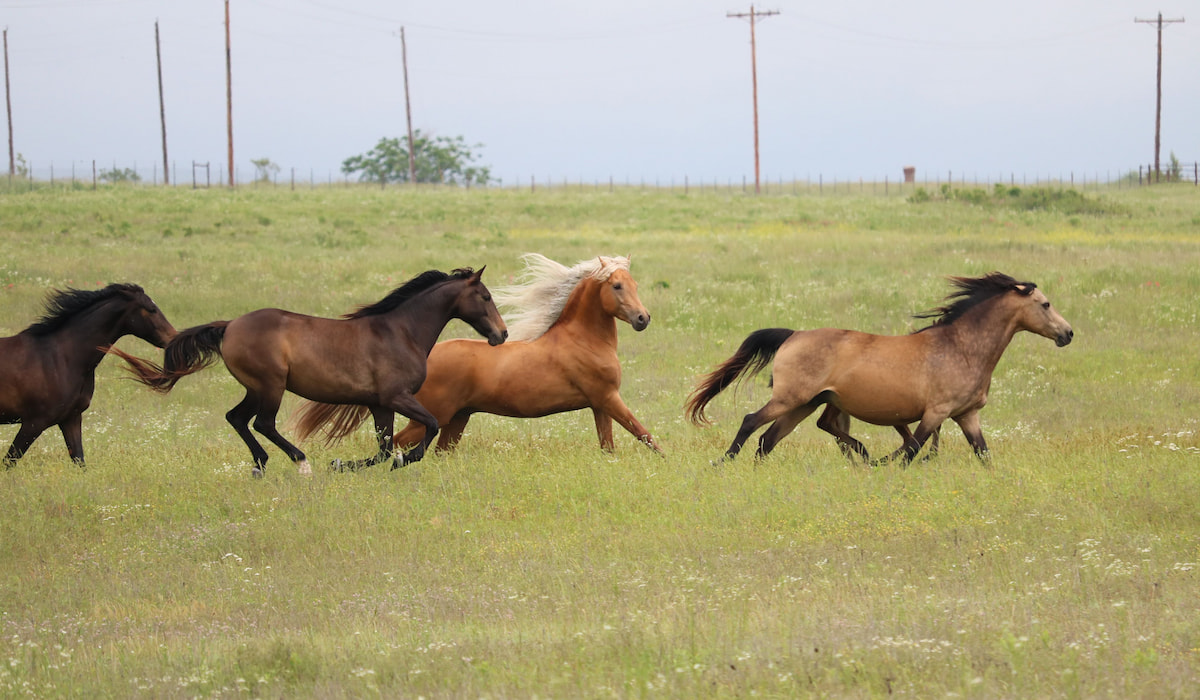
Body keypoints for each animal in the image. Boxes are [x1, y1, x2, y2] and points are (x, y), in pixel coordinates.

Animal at [1, 283, 177, 468]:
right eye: (151, 309)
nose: (173, 338)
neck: (61, 358)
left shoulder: (71, 419)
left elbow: (79, 461)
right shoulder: (34, 422)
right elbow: (9, 461)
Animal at [112, 268, 507, 477]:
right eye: (486, 297)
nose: (501, 335)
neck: (400, 332)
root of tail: (230, 326)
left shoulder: (380, 404)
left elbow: (383, 448)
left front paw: (346, 463)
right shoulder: (397, 397)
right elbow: (430, 427)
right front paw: (400, 460)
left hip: (255, 389)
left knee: (237, 418)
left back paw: (260, 466)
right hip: (270, 386)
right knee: (262, 423)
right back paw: (301, 462)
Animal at [292, 254, 663, 458]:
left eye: (634, 284)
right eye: (616, 286)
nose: (643, 318)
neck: (582, 340)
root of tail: (426, 356)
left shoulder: (598, 405)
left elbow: (609, 446)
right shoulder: (608, 397)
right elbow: (645, 435)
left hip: (458, 418)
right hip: (434, 416)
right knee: (396, 443)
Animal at [685, 272, 1073, 464]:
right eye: (1045, 304)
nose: (1067, 333)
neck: (961, 348)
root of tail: (793, 334)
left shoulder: (967, 415)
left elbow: (983, 453)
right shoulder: (936, 412)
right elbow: (912, 449)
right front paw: (887, 464)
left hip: (806, 403)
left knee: (769, 440)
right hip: (790, 399)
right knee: (752, 422)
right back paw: (724, 463)